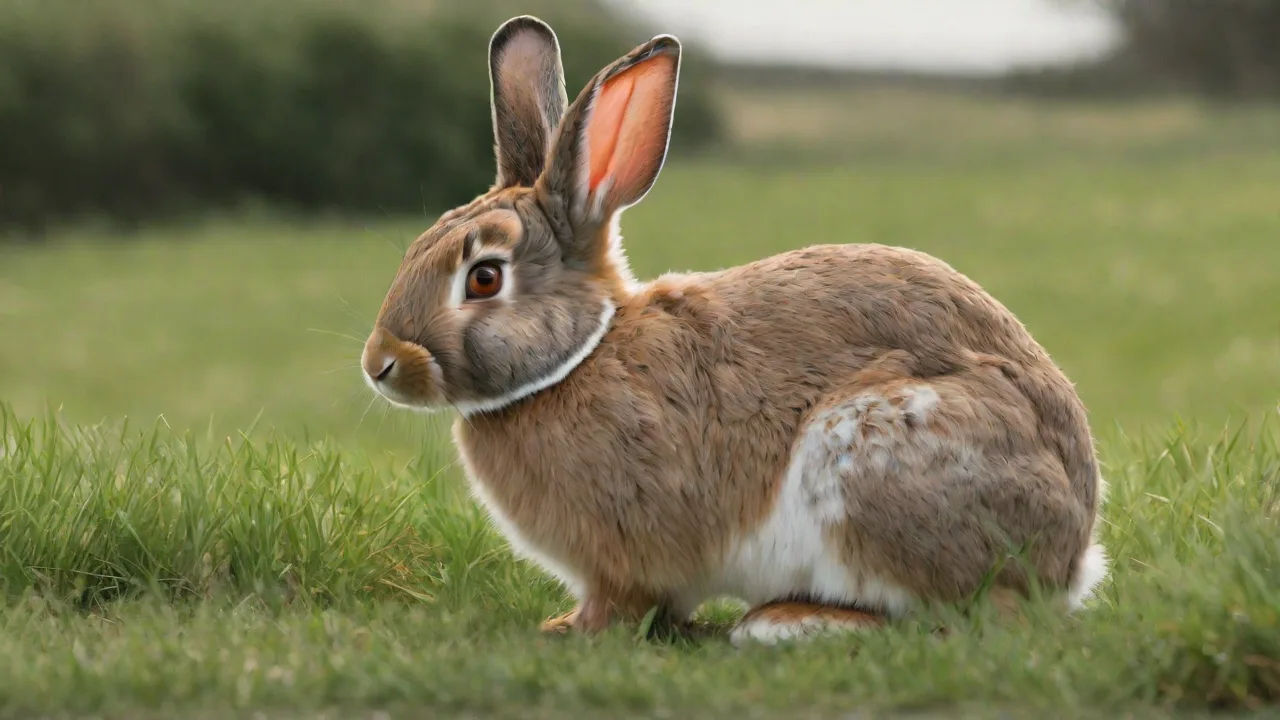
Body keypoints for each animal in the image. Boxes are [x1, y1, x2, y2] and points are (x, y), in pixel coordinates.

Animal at [360, 15, 1109, 645]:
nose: (379, 364)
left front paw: (569, 630)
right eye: (416, 247)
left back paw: (787, 620)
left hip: (877, 461)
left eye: (484, 278)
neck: (580, 355)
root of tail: (1068, 557)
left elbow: (623, 602)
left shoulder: (627, 554)